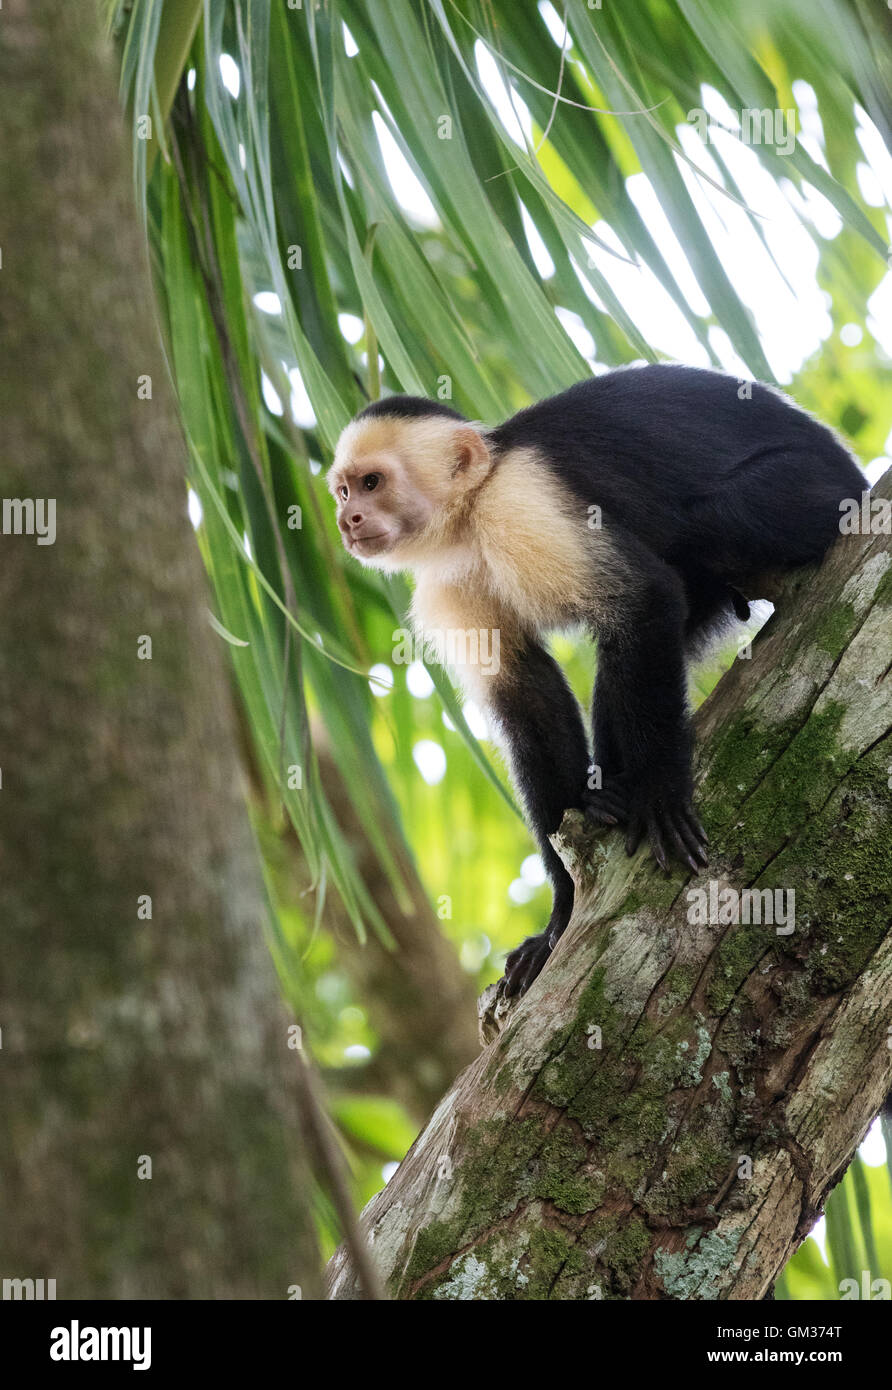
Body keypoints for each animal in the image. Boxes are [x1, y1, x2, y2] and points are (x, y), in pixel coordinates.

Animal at [328, 365, 865, 997]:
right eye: (344, 490)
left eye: (372, 482)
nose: (347, 521)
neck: (470, 515)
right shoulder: (448, 582)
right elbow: (526, 693)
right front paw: (560, 910)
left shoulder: (524, 501)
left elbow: (641, 600)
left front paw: (661, 793)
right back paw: (607, 791)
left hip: (815, 493)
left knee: (702, 531)